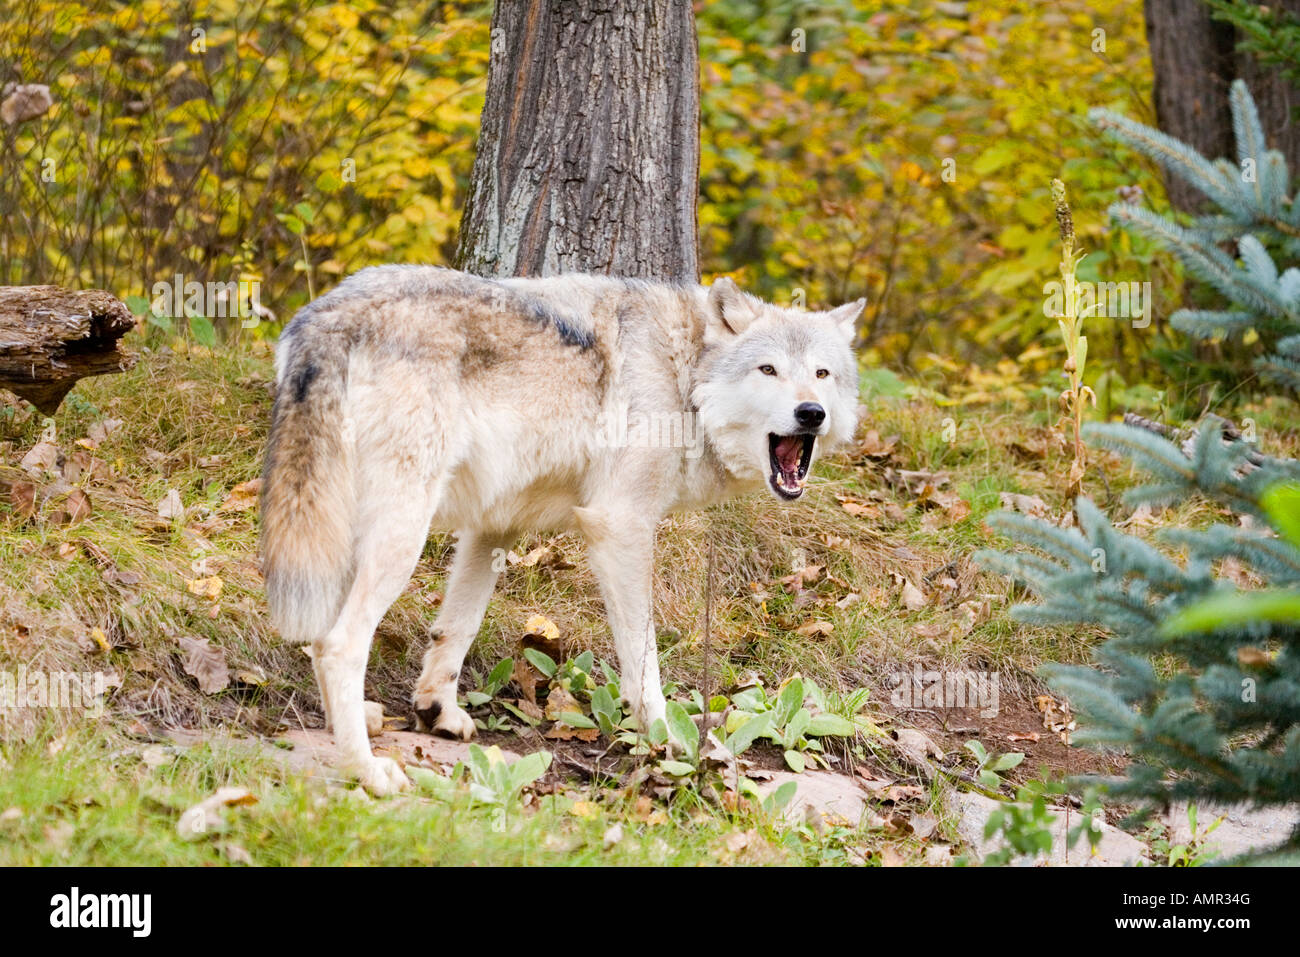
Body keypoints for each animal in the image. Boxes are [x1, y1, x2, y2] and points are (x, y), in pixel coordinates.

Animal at [260, 266, 864, 794]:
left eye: (821, 374)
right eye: (768, 371)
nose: (811, 413)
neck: (682, 373)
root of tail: (327, 317)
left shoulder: (494, 526)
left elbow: (457, 628)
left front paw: (437, 711)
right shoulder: (619, 526)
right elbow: (642, 663)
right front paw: (666, 739)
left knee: (320, 635)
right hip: (401, 534)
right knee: (338, 643)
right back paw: (365, 771)